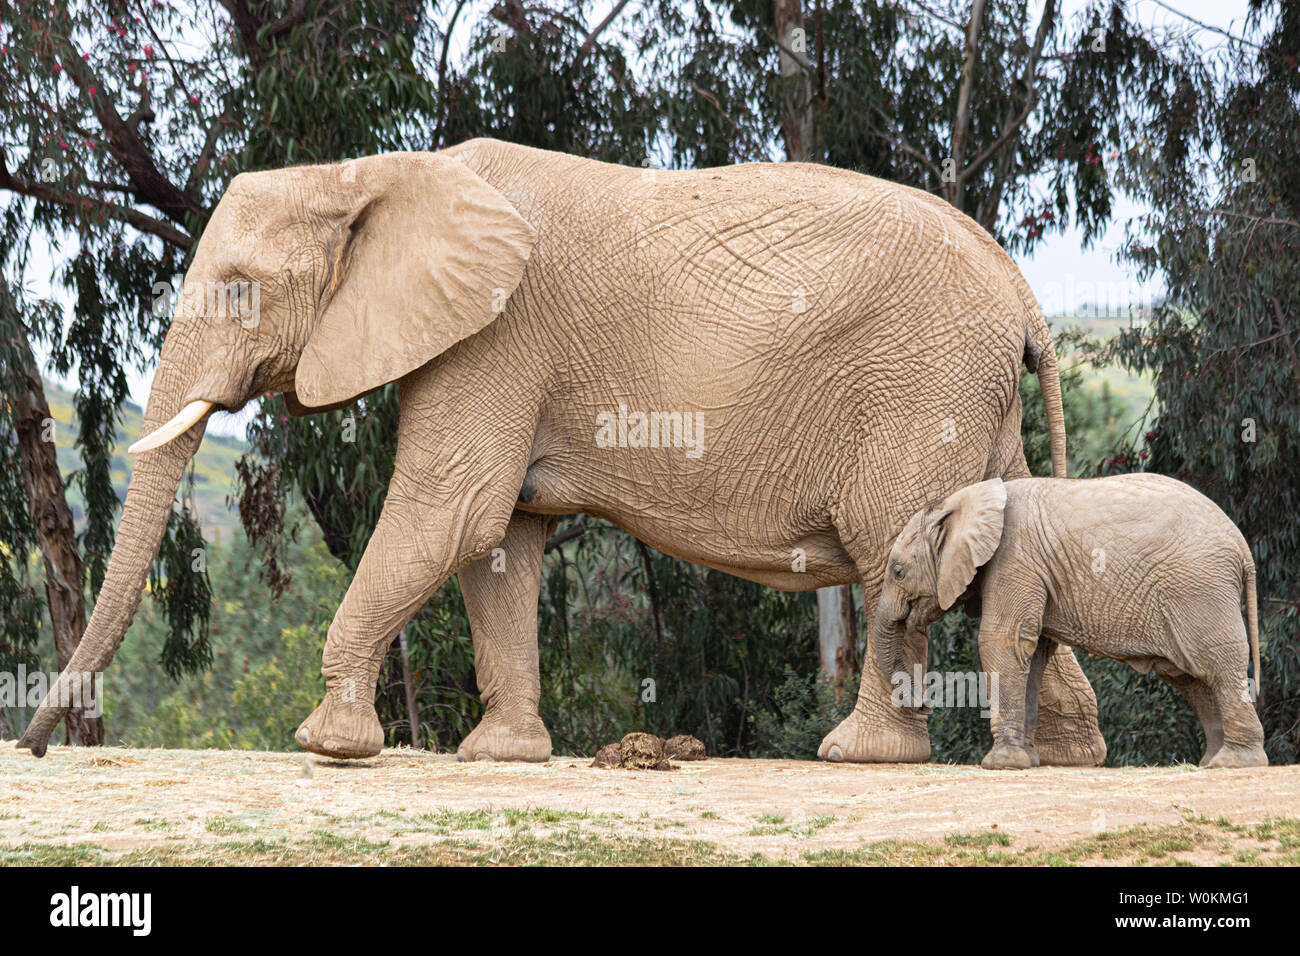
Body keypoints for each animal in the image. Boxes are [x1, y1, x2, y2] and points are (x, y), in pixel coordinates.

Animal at [18, 138, 1107, 767]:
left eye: (240, 287)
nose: (28, 750)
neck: (372, 171)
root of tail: (1022, 294)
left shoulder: (497, 336)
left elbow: (451, 510)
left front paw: (330, 745)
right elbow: (501, 540)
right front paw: (500, 757)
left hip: (918, 385)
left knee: (894, 553)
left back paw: (862, 755)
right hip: (964, 399)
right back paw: (1066, 760)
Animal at [872, 474, 1267, 770]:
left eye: (898, 571)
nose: (925, 703)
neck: (964, 500)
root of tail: (1243, 549)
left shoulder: (1015, 558)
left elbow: (1003, 640)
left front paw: (1001, 764)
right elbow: (1033, 653)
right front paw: (1027, 761)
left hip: (1199, 588)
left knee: (1214, 664)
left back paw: (1234, 762)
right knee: (1189, 674)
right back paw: (1211, 761)